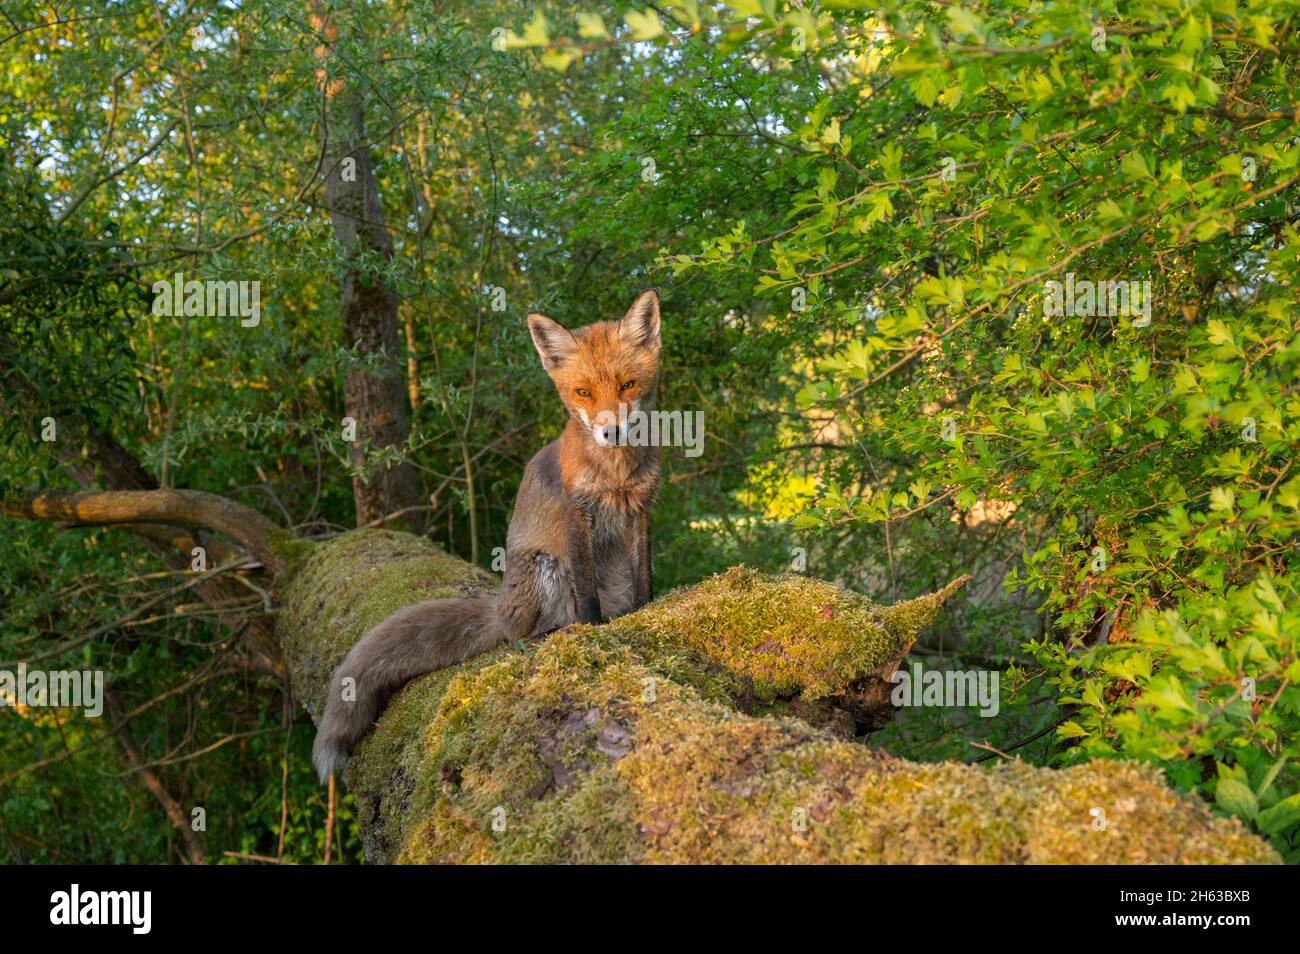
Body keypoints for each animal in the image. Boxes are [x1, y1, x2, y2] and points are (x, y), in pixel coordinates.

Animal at [311, 289, 663, 782]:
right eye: (583, 393)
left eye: (628, 385)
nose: (610, 431)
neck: (615, 475)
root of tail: (499, 605)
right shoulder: (576, 518)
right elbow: (587, 595)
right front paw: (593, 632)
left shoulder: (640, 511)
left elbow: (645, 577)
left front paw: (647, 612)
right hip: (542, 567)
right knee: (524, 632)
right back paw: (550, 632)